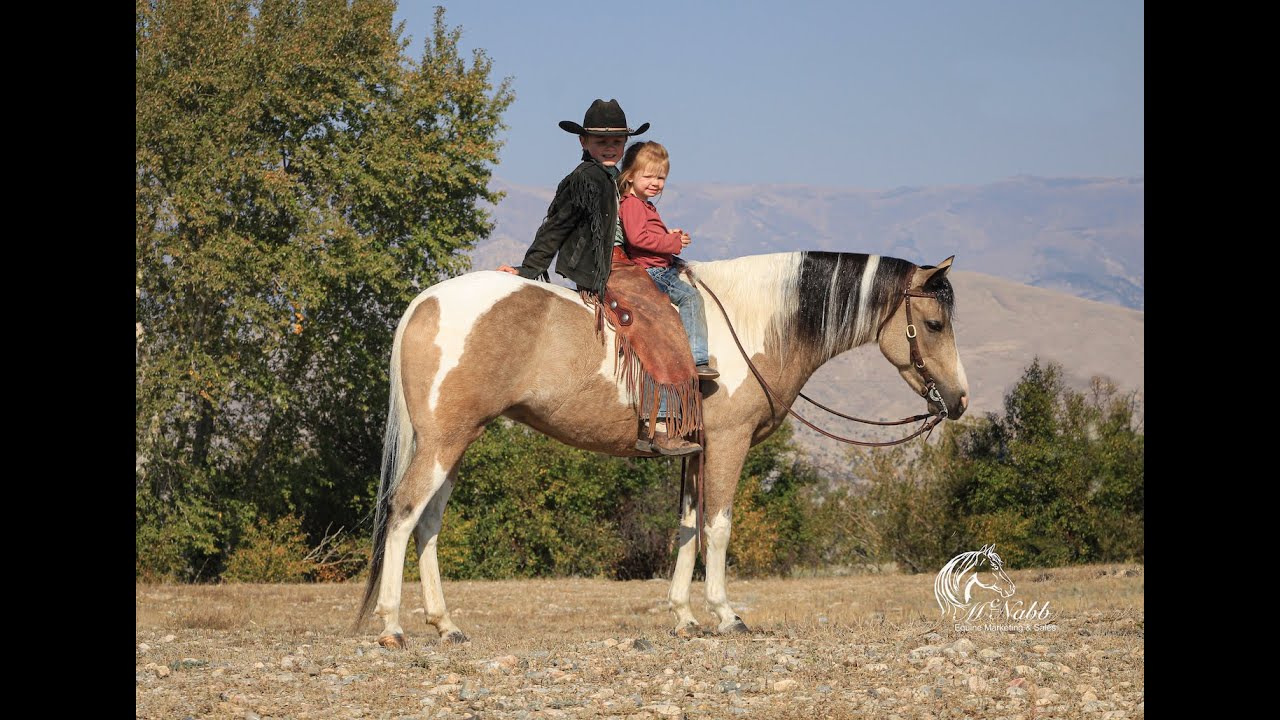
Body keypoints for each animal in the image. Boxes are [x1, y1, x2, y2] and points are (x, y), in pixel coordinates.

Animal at [357, 251, 969, 647]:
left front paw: (683, 618)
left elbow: (687, 528)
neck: (753, 323)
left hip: (456, 444)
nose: (960, 400)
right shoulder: (727, 444)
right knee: (404, 513)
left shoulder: (693, 452)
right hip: (444, 441)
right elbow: (718, 527)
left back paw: (446, 625)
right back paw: (392, 627)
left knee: (429, 522)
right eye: (934, 323)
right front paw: (726, 616)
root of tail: (425, 302)